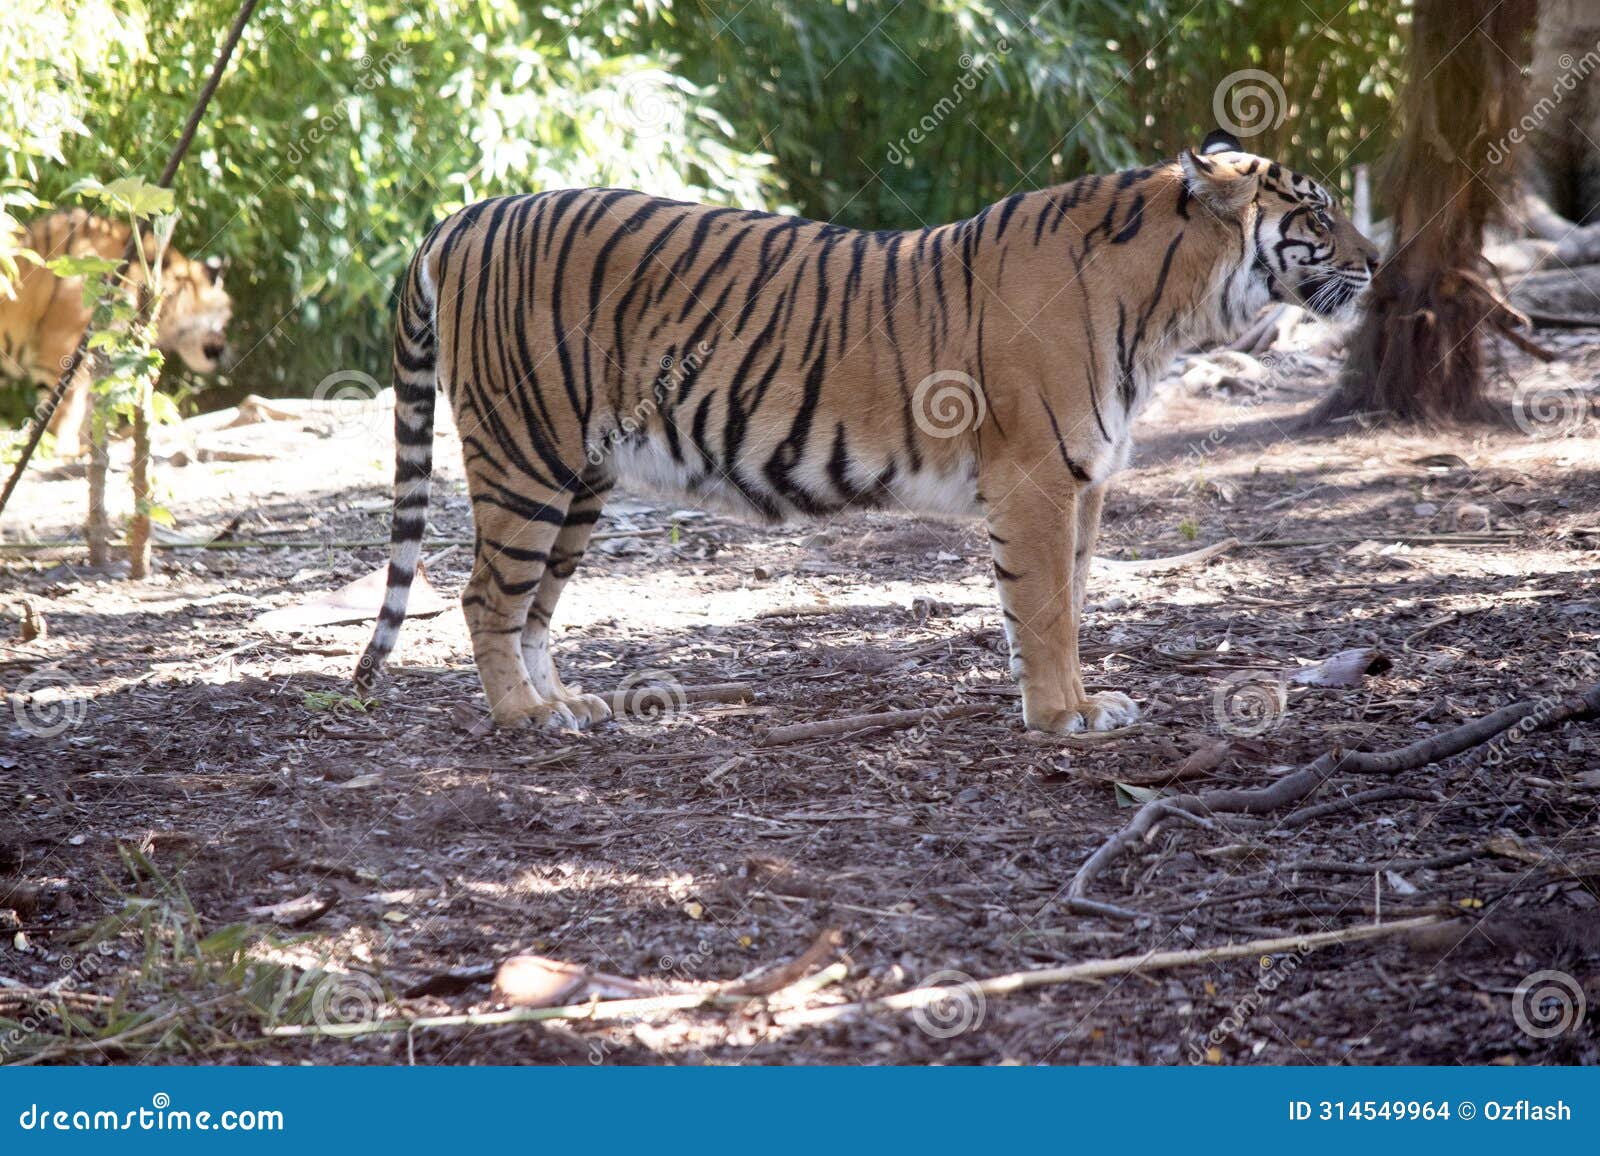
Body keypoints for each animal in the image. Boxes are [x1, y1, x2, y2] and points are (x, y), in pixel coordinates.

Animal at [355, 129, 1378, 734]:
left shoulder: (1084, 481)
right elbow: (1047, 609)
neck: (1172, 309)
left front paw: (1081, 702)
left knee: (534, 603)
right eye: (1319, 212)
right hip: (527, 456)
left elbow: (1072, 604)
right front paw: (1060, 720)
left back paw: (567, 701)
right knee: (485, 596)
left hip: (583, 476)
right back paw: (524, 718)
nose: (1380, 260)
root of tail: (464, 214)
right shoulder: (1039, 477)